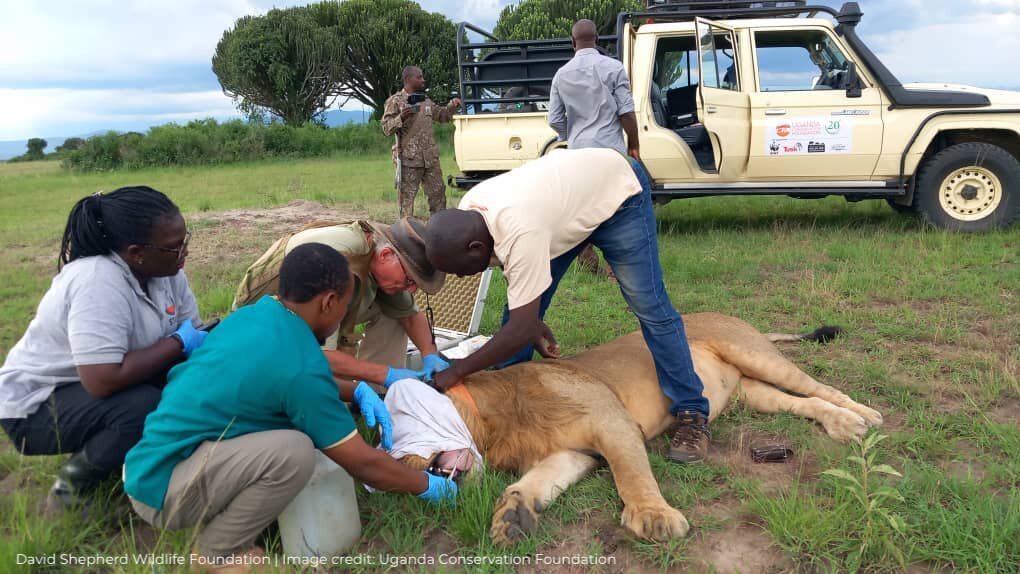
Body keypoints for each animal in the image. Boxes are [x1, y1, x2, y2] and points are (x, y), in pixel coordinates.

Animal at [397, 312, 883, 545]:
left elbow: (632, 475)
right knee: (805, 402)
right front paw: (512, 518)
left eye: (397, 421)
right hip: (750, 391)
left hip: (757, 356)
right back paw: (842, 424)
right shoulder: (572, 454)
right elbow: (534, 483)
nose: (405, 470)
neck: (496, 425)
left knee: (820, 387)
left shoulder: (612, 423)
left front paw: (653, 517)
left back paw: (864, 416)